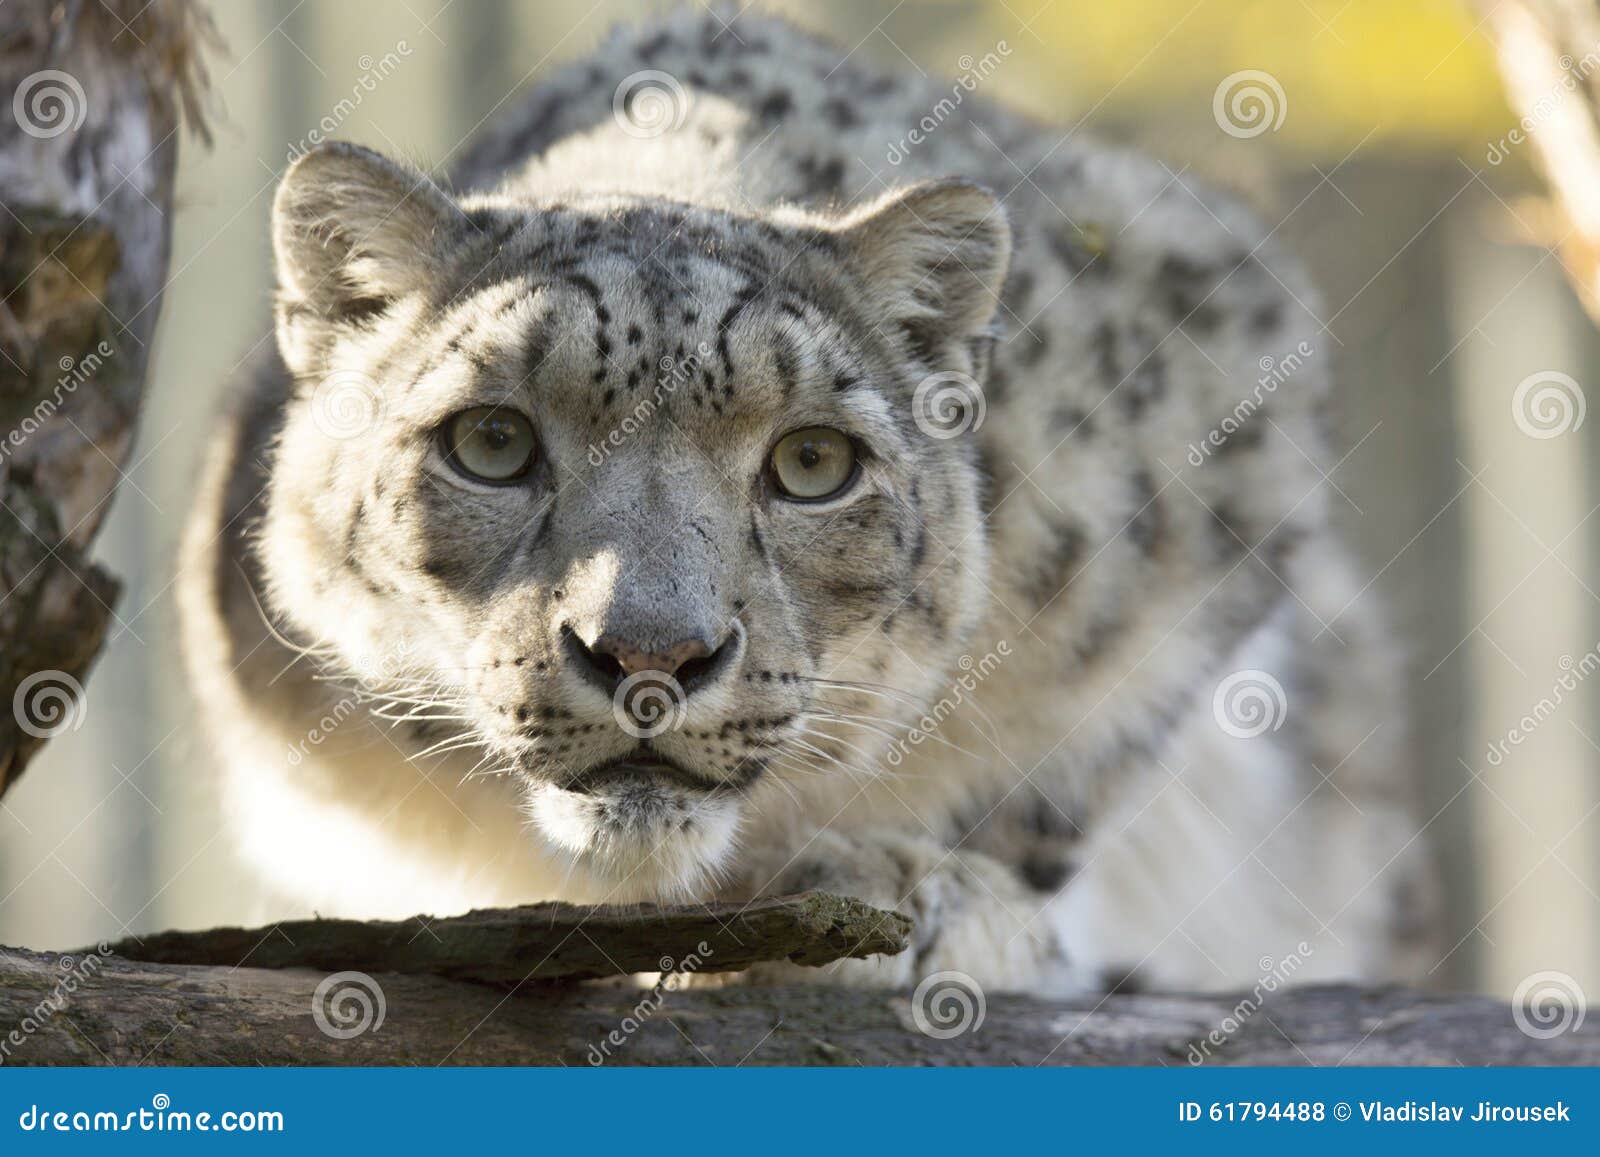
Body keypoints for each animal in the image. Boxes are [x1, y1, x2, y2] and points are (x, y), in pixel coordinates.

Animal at [177, 5, 1435, 995]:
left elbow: (1066, 768)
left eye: (813, 463)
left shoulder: (1241, 401)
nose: (650, 654)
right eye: (492, 441)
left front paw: (921, 890)